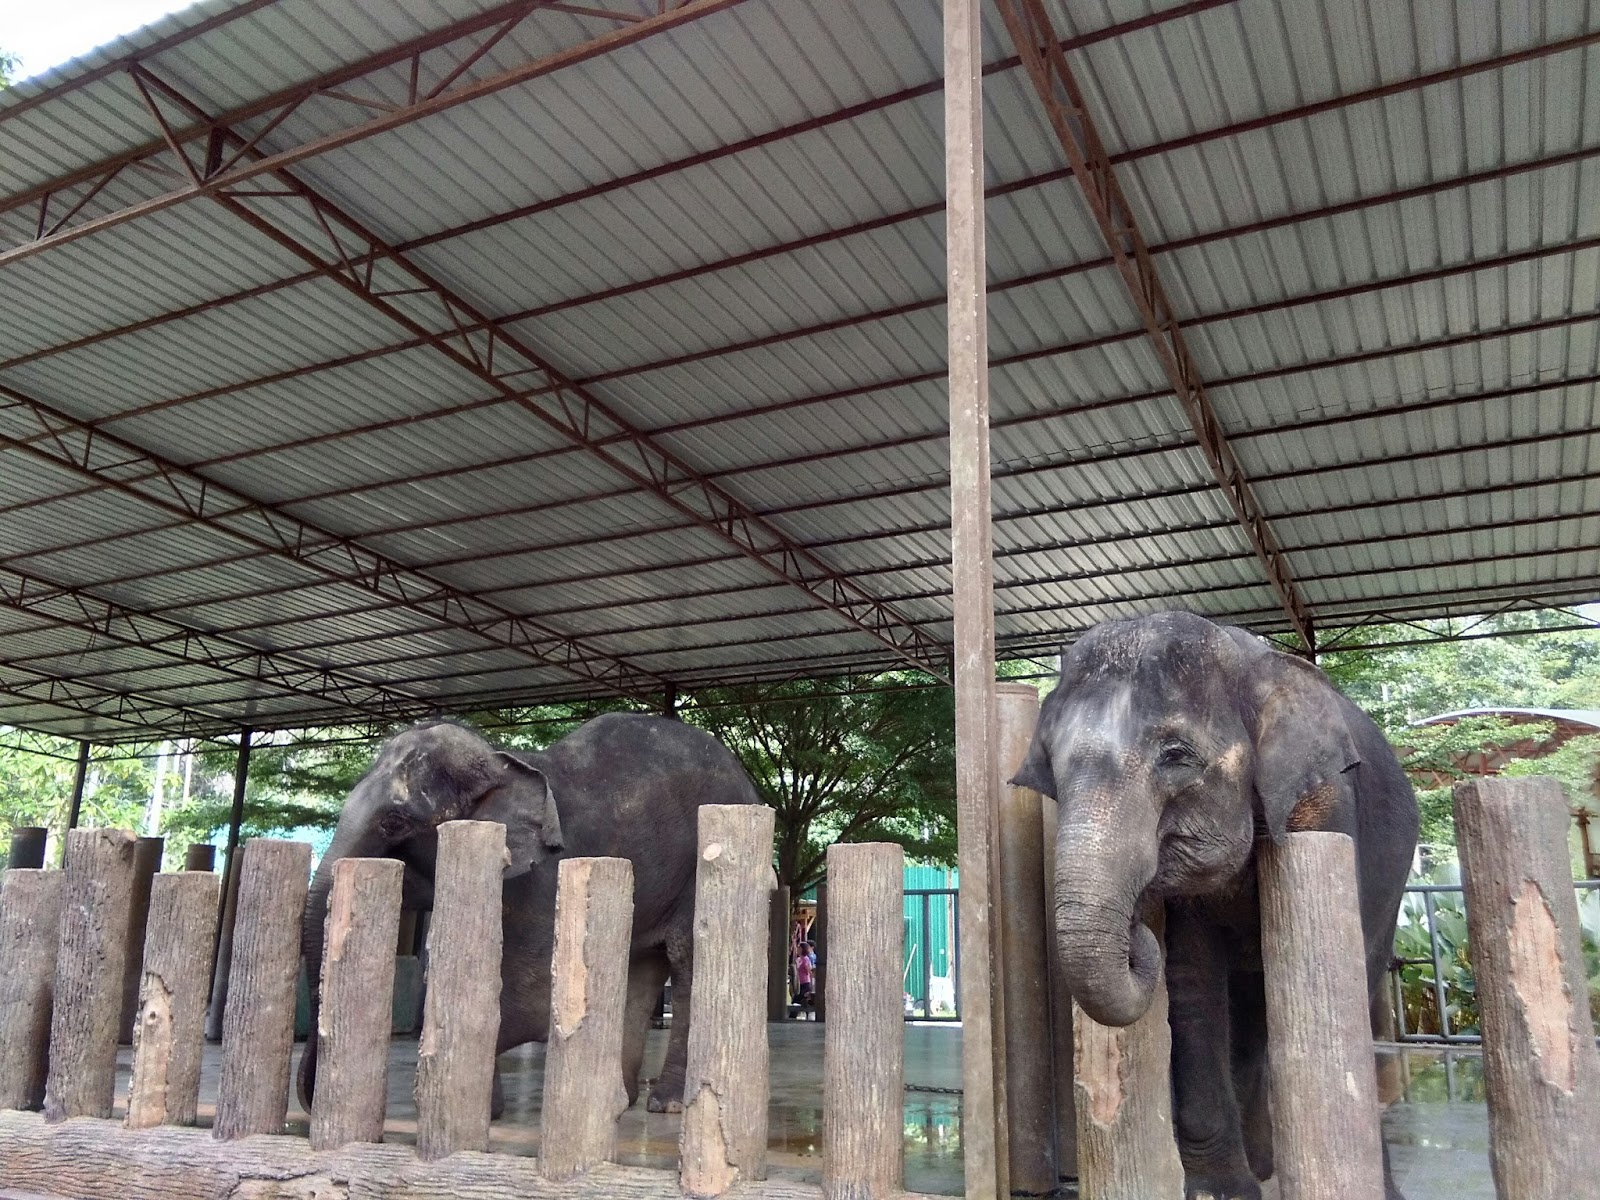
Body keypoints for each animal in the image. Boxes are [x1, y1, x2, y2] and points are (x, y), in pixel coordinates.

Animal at [297, 712, 760, 1117]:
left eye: (394, 822)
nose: (309, 1097)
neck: (499, 760)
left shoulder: (546, 873)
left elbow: (530, 999)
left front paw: (467, 1102)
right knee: (640, 964)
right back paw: (621, 1100)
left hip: (700, 872)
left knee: (686, 960)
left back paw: (667, 1104)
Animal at [1011, 612, 1418, 1200]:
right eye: (1050, 766)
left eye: (1176, 755)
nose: (1137, 930)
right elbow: (1193, 981)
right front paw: (1216, 1190)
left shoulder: (1324, 806)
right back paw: (1263, 1166)